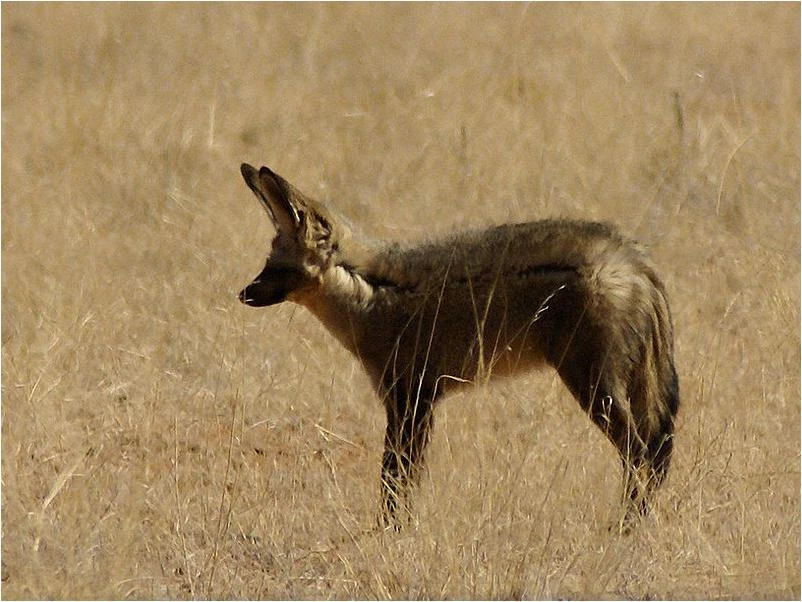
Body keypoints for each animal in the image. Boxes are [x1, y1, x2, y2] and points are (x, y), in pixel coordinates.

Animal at [237, 163, 679, 532]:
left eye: (277, 267)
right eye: (267, 263)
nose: (243, 294)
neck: (373, 291)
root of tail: (635, 259)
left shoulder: (411, 400)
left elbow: (395, 479)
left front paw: (391, 533)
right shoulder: (414, 402)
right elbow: (400, 478)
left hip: (593, 387)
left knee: (641, 453)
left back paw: (626, 527)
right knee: (656, 450)